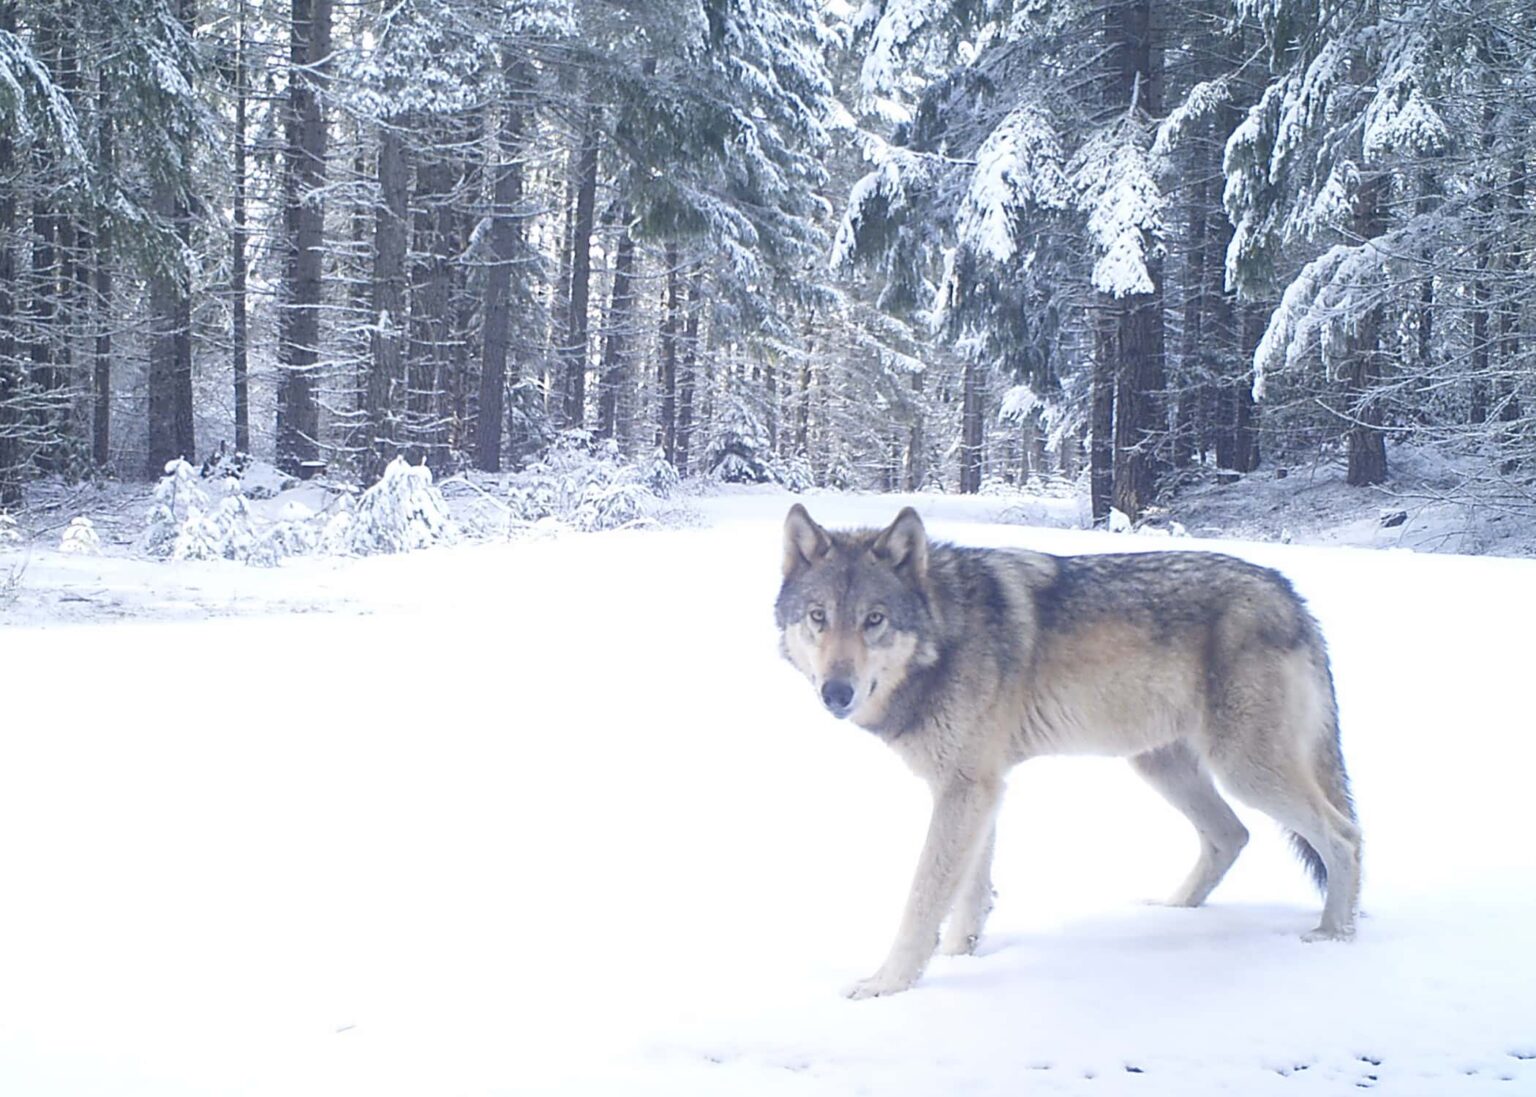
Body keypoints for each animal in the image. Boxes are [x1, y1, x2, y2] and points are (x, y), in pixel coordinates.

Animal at [776, 505, 1361, 999]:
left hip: (1244, 770)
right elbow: (971, 894)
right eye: (818, 617)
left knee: (1344, 836)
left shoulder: (966, 789)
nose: (836, 692)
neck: (946, 632)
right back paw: (1173, 910)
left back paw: (1335, 937)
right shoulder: (979, 787)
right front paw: (962, 957)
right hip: (1162, 765)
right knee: (1231, 835)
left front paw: (888, 984)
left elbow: (924, 898)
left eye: (874, 619)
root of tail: (1289, 592)